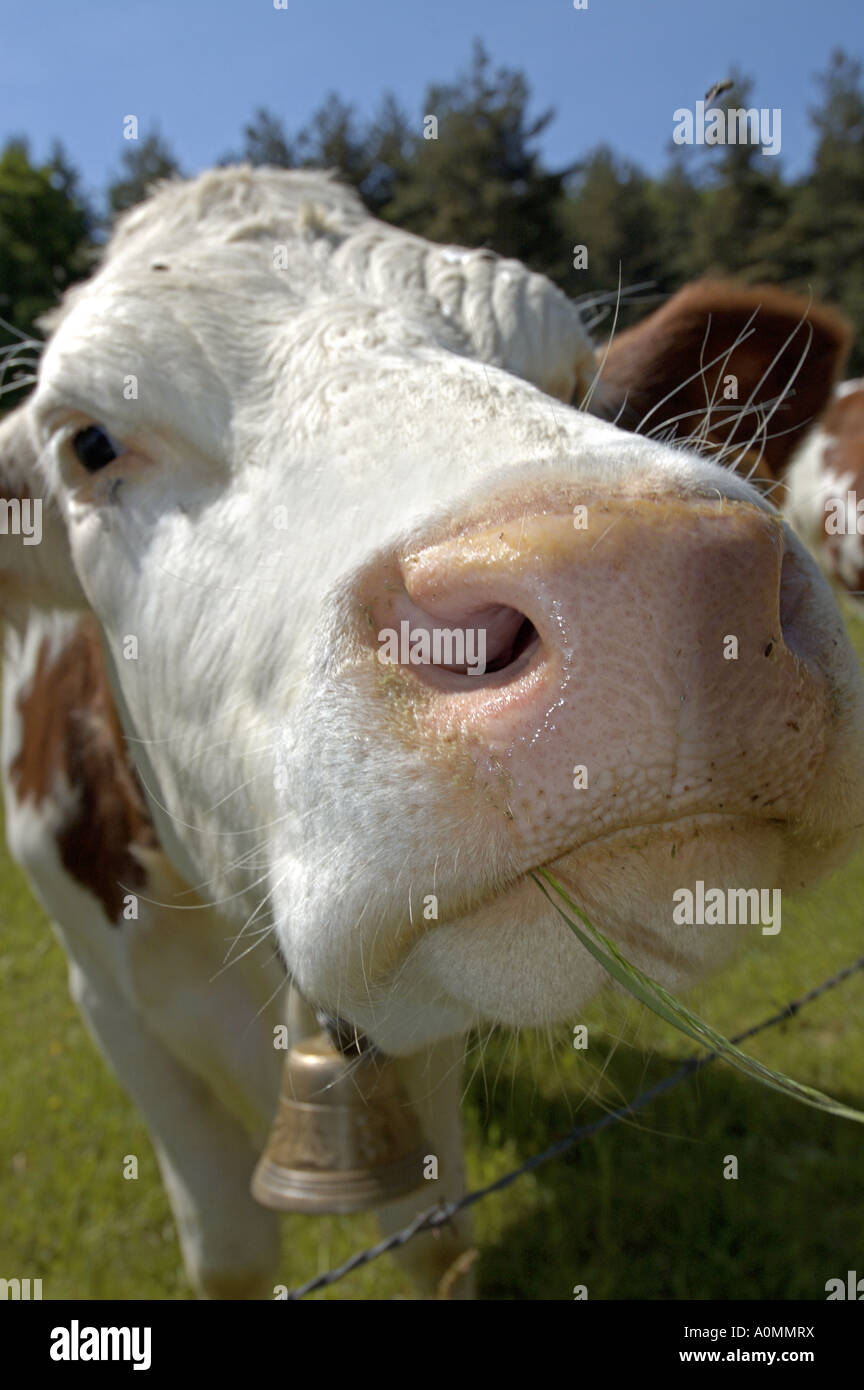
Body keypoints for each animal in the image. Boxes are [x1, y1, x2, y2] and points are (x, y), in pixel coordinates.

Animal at [2, 167, 862, 1300]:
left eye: (577, 376)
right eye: (89, 442)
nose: (643, 576)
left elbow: (435, 1237)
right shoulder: (110, 1000)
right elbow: (229, 1253)